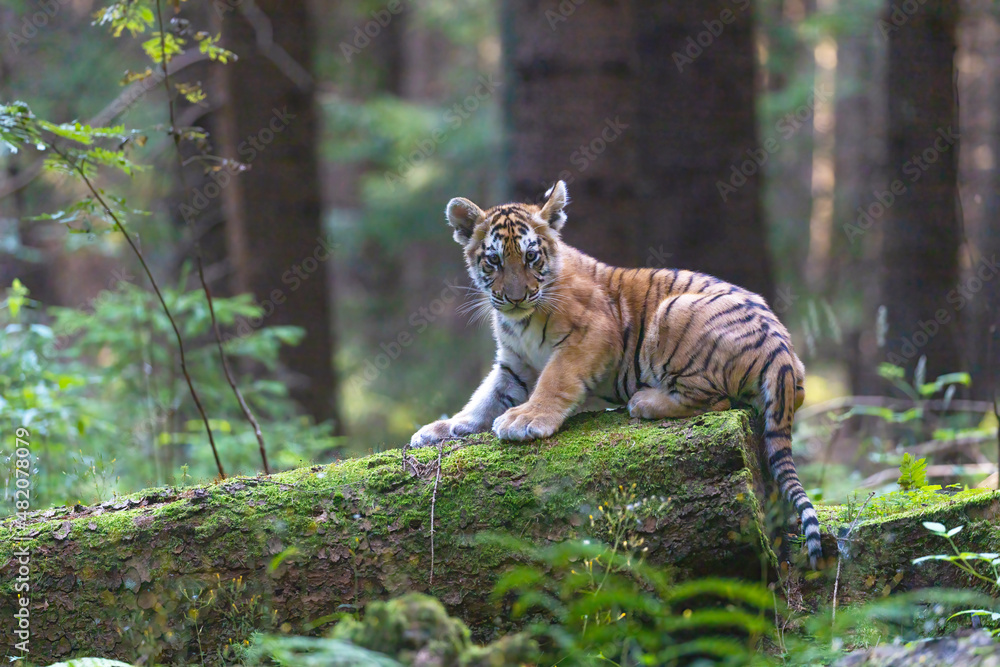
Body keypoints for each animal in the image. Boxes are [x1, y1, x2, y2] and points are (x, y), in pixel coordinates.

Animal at [408, 180, 822, 567]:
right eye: (493, 260)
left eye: (531, 256)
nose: (515, 297)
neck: (520, 320)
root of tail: (784, 355)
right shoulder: (514, 365)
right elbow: (483, 400)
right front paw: (440, 429)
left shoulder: (590, 335)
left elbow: (555, 380)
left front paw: (526, 420)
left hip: (674, 310)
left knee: (716, 398)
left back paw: (644, 402)